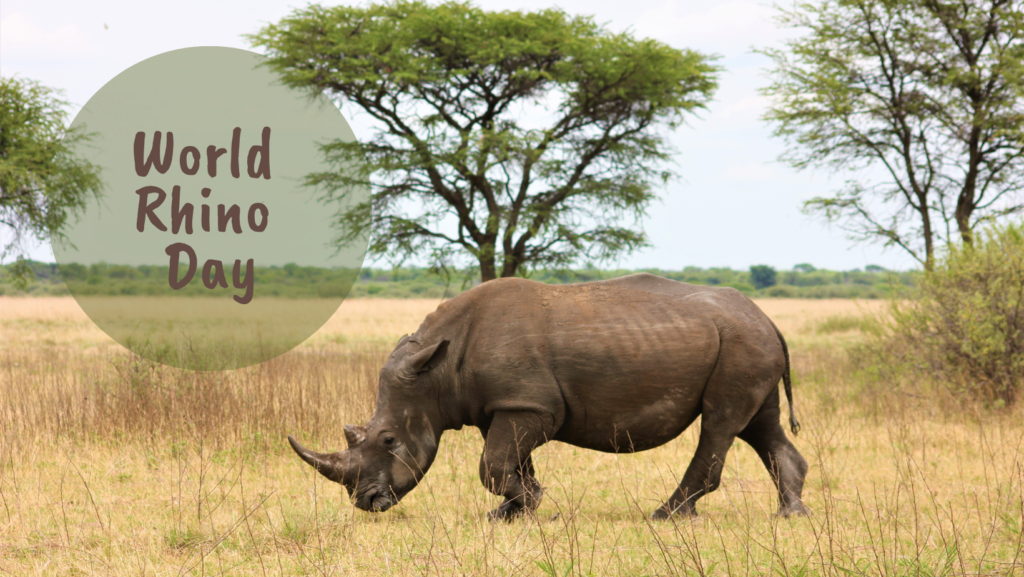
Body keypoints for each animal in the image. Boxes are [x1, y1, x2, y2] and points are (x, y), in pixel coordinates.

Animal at [288, 273, 810, 520]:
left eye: (390, 441)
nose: (367, 502)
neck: (435, 373)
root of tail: (767, 317)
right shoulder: (508, 405)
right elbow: (510, 463)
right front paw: (513, 511)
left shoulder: (529, 404)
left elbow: (493, 465)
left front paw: (532, 505)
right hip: (747, 342)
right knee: (758, 424)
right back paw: (790, 515)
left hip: (740, 343)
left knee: (720, 421)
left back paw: (667, 516)